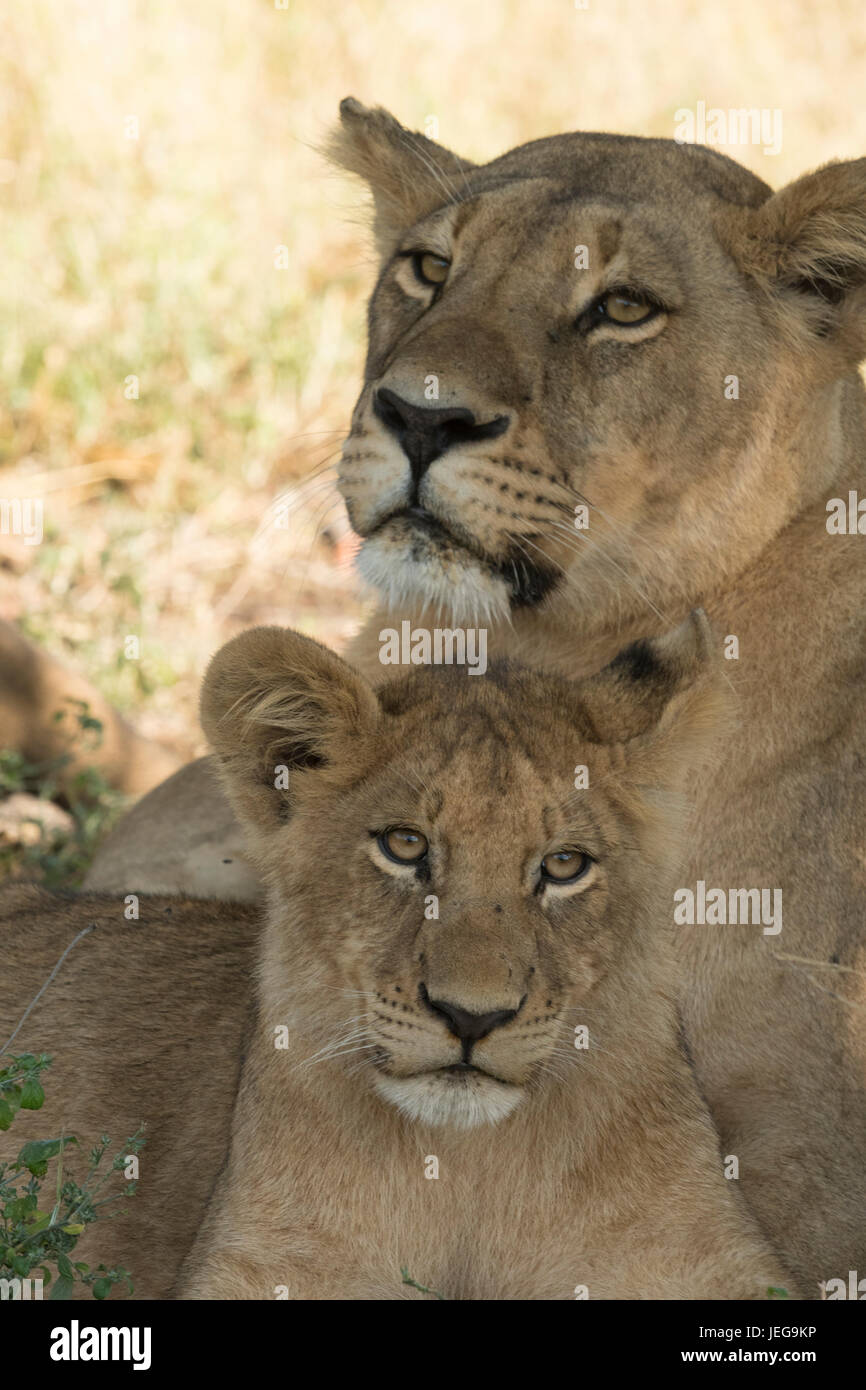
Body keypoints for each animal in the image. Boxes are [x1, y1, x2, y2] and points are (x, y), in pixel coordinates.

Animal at [2, 616, 796, 1299]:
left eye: (565, 865)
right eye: (405, 846)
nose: (472, 1018)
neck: (464, 1173)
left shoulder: (707, 1264)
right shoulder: (263, 1267)